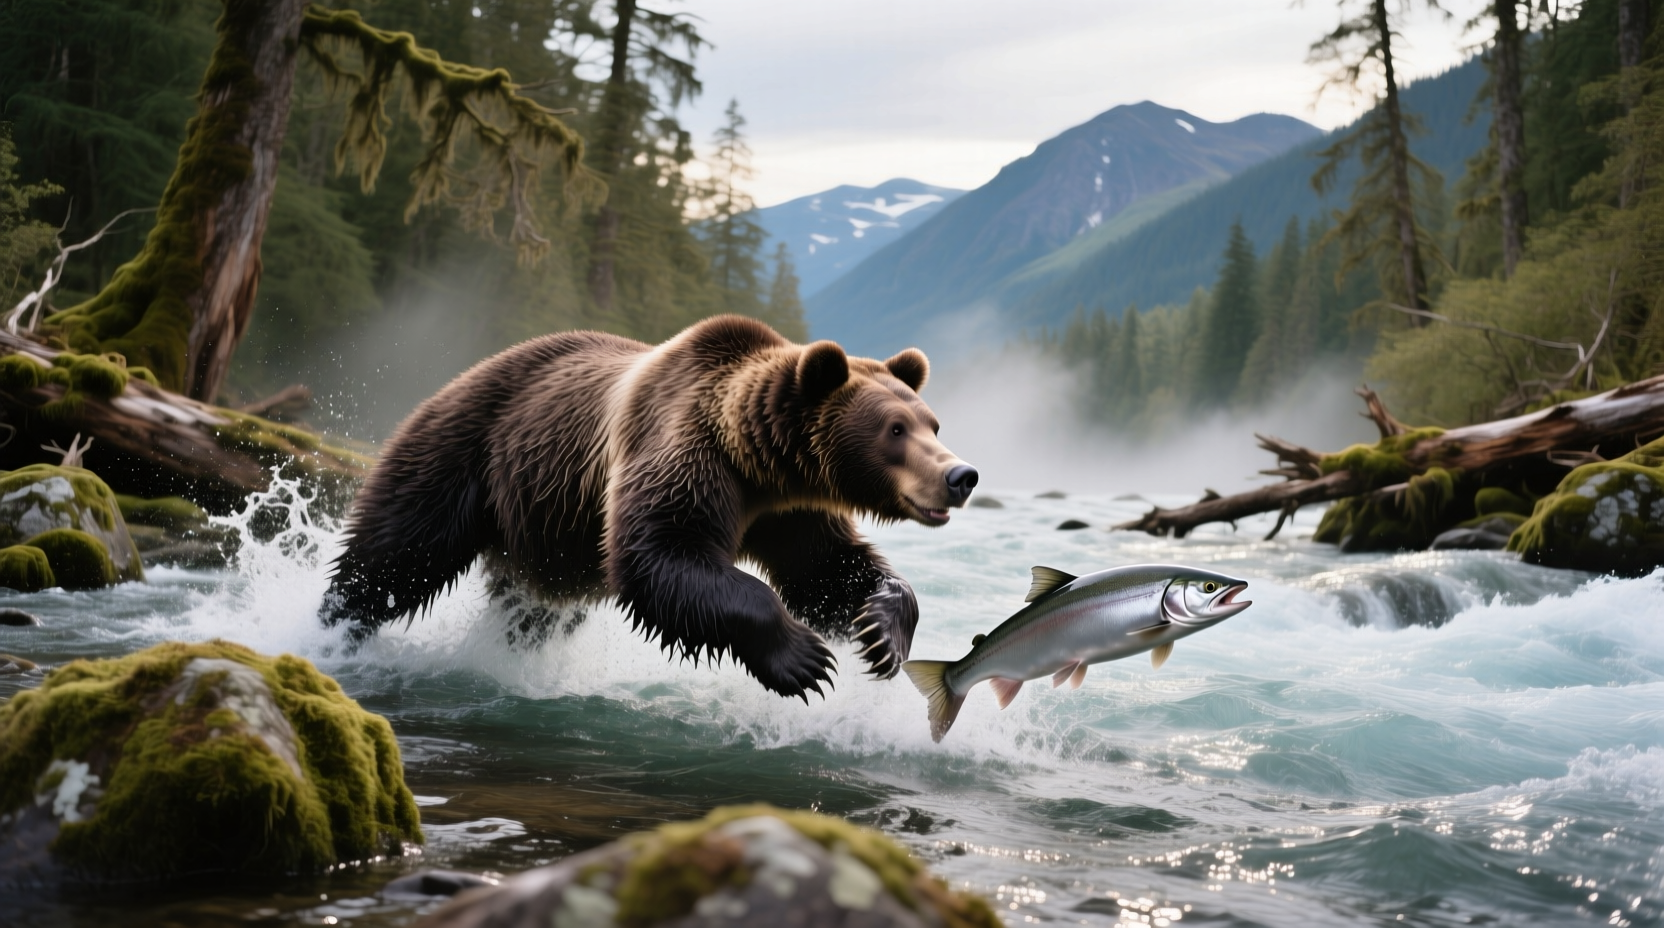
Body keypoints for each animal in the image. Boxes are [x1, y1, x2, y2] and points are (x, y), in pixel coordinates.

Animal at [319, 315, 979, 699]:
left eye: (932, 422)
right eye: (895, 429)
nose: (961, 475)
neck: (756, 463)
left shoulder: (789, 510)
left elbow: (825, 568)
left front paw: (880, 632)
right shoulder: (683, 451)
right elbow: (661, 553)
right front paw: (803, 659)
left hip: (548, 531)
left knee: (532, 607)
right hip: (465, 451)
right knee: (395, 553)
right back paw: (335, 627)